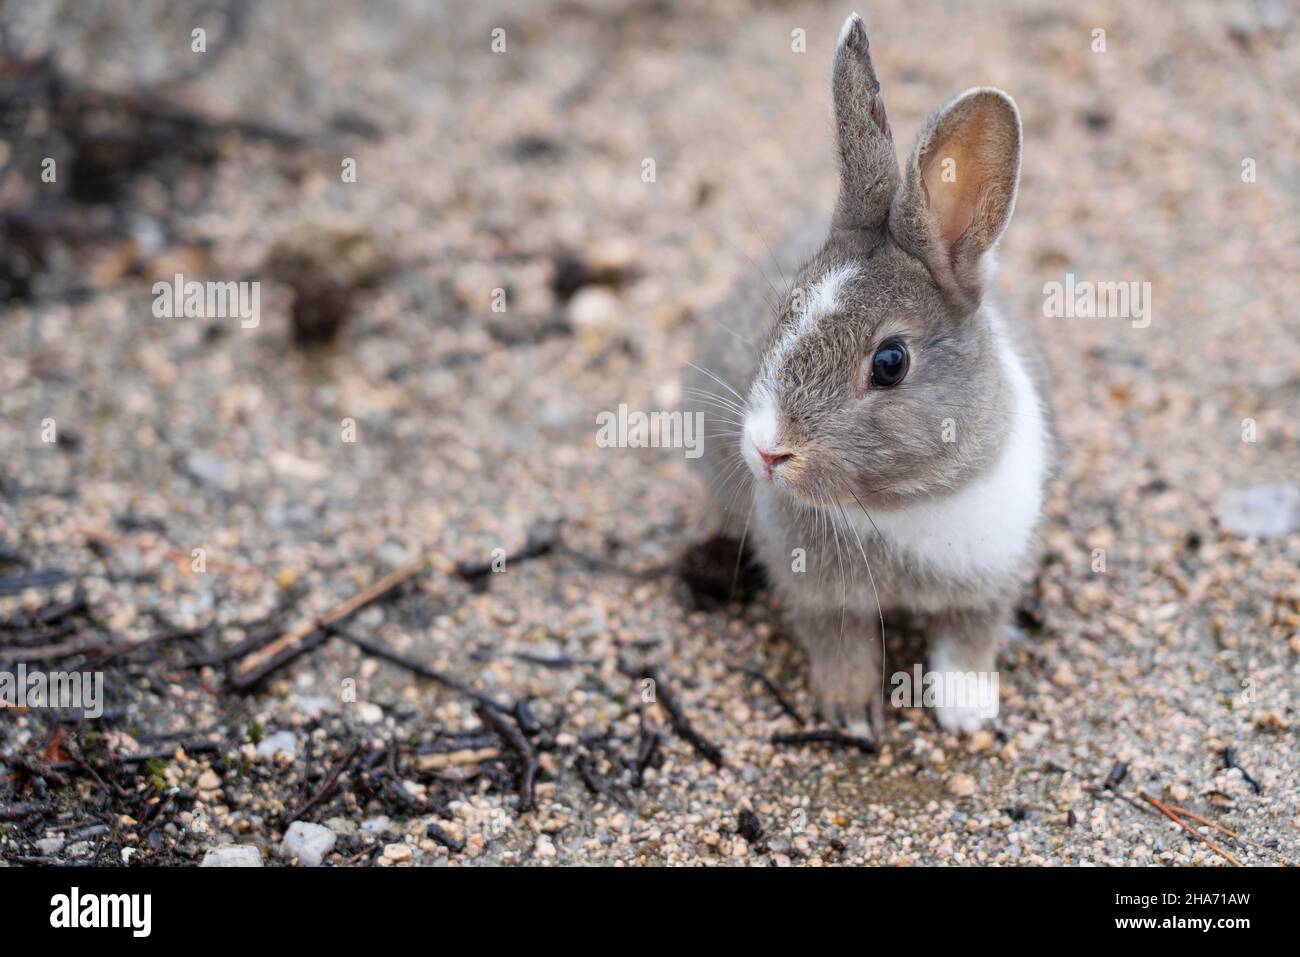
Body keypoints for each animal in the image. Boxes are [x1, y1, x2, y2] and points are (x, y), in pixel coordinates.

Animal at [685, 13, 1051, 737]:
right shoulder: (819, 596)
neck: (896, 503)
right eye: (783, 310)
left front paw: (967, 710)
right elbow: (840, 644)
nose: (767, 452)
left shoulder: (992, 578)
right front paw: (850, 712)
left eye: (890, 362)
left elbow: (968, 638)